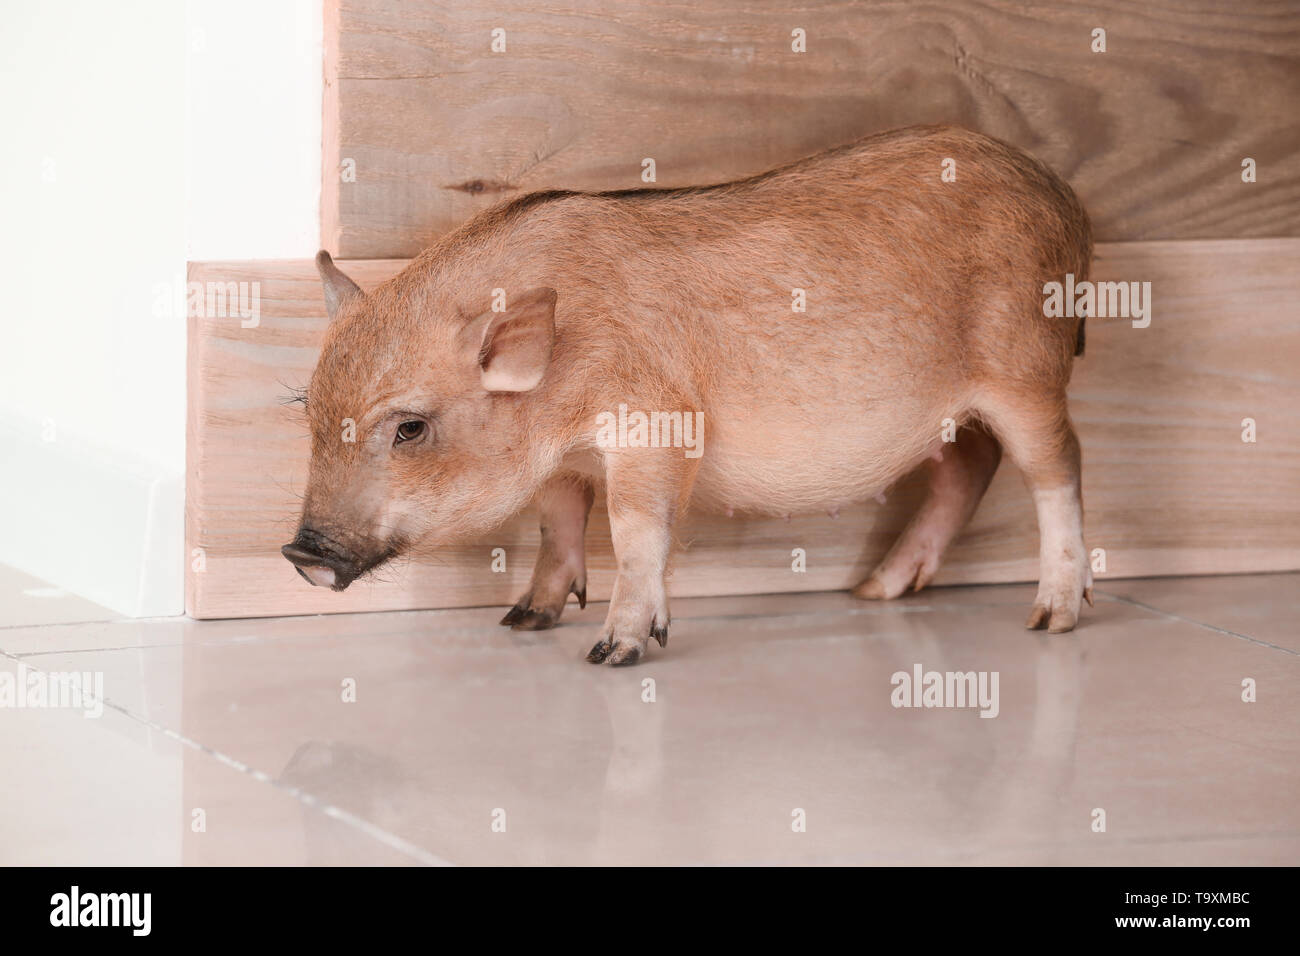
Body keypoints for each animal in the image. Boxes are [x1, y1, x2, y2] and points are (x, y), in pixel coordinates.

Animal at [282, 125, 1093, 665]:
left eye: (410, 428)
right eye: (310, 412)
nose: (299, 551)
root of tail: (1062, 195)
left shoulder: (657, 423)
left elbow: (635, 528)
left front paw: (611, 653)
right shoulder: (565, 461)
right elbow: (558, 524)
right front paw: (523, 621)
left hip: (1027, 369)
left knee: (1059, 465)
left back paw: (1051, 618)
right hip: (955, 414)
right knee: (967, 469)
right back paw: (875, 592)